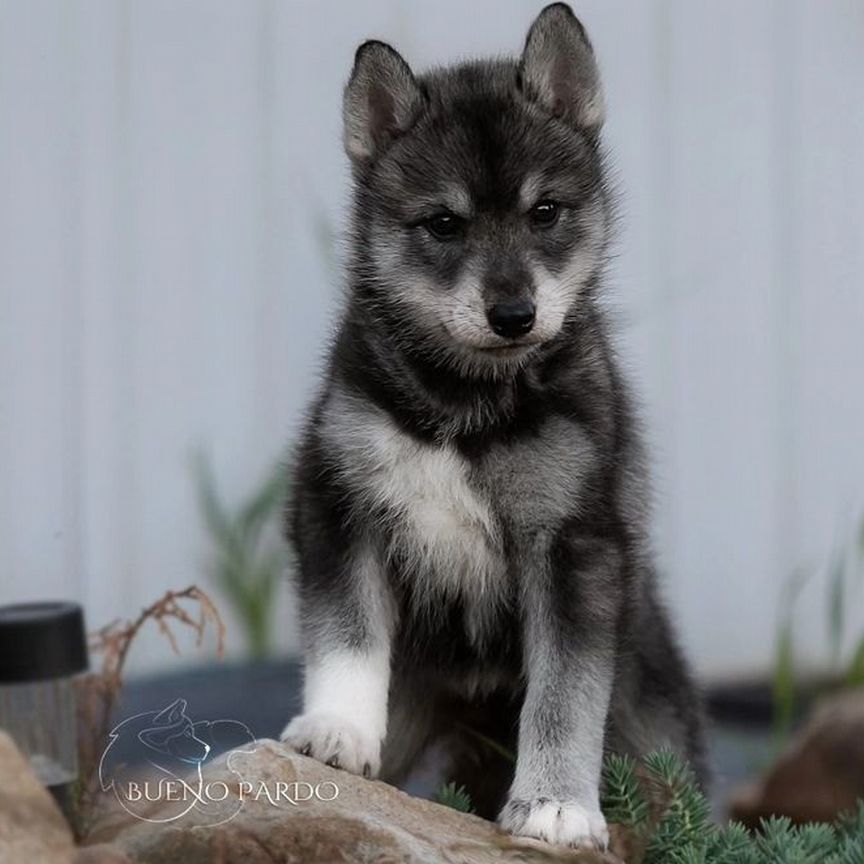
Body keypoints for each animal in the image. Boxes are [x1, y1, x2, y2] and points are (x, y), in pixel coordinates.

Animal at [284, 3, 708, 848]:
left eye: (545, 212)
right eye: (444, 224)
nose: (514, 315)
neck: (463, 407)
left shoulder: (574, 547)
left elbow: (564, 694)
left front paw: (555, 804)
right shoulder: (337, 506)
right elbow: (347, 637)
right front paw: (338, 728)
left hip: (655, 745)